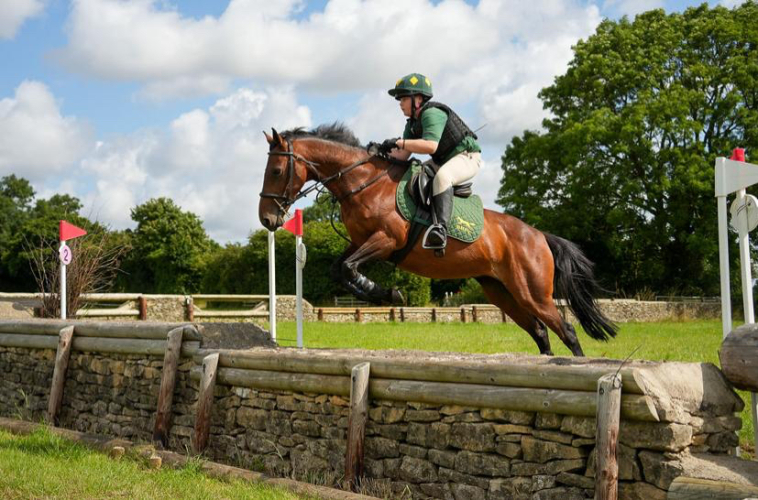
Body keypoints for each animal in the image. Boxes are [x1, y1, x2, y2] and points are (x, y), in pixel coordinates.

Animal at [258, 124, 617, 356]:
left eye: (275, 171)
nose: (267, 220)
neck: (363, 182)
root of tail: (539, 235)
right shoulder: (360, 241)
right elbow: (340, 269)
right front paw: (382, 292)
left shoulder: (386, 240)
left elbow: (348, 268)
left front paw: (391, 293)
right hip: (501, 291)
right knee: (540, 332)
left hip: (533, 292)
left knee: (566, 331)